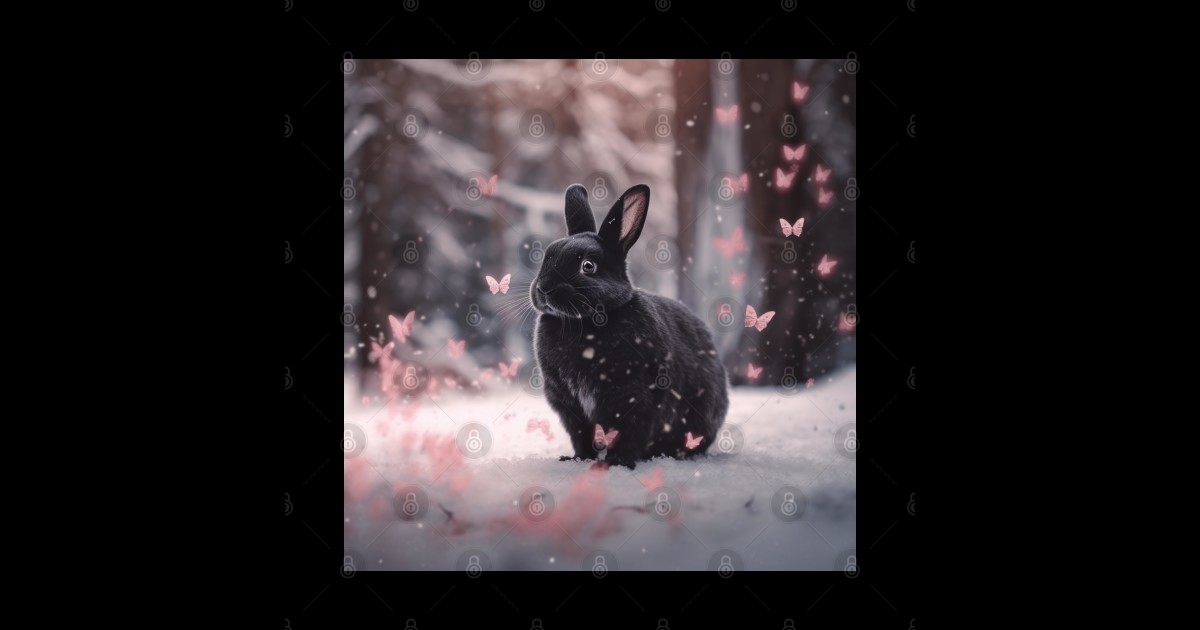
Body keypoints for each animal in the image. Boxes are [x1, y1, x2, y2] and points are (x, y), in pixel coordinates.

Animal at [530, 183, 729, 469]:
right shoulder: (569, 405)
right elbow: (580, 435)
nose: (544, 288)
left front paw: (617, 462)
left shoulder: (637, 397)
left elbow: (631, 433)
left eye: (587, 266)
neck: (585, 323)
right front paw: (576, 459)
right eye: (547, 256)